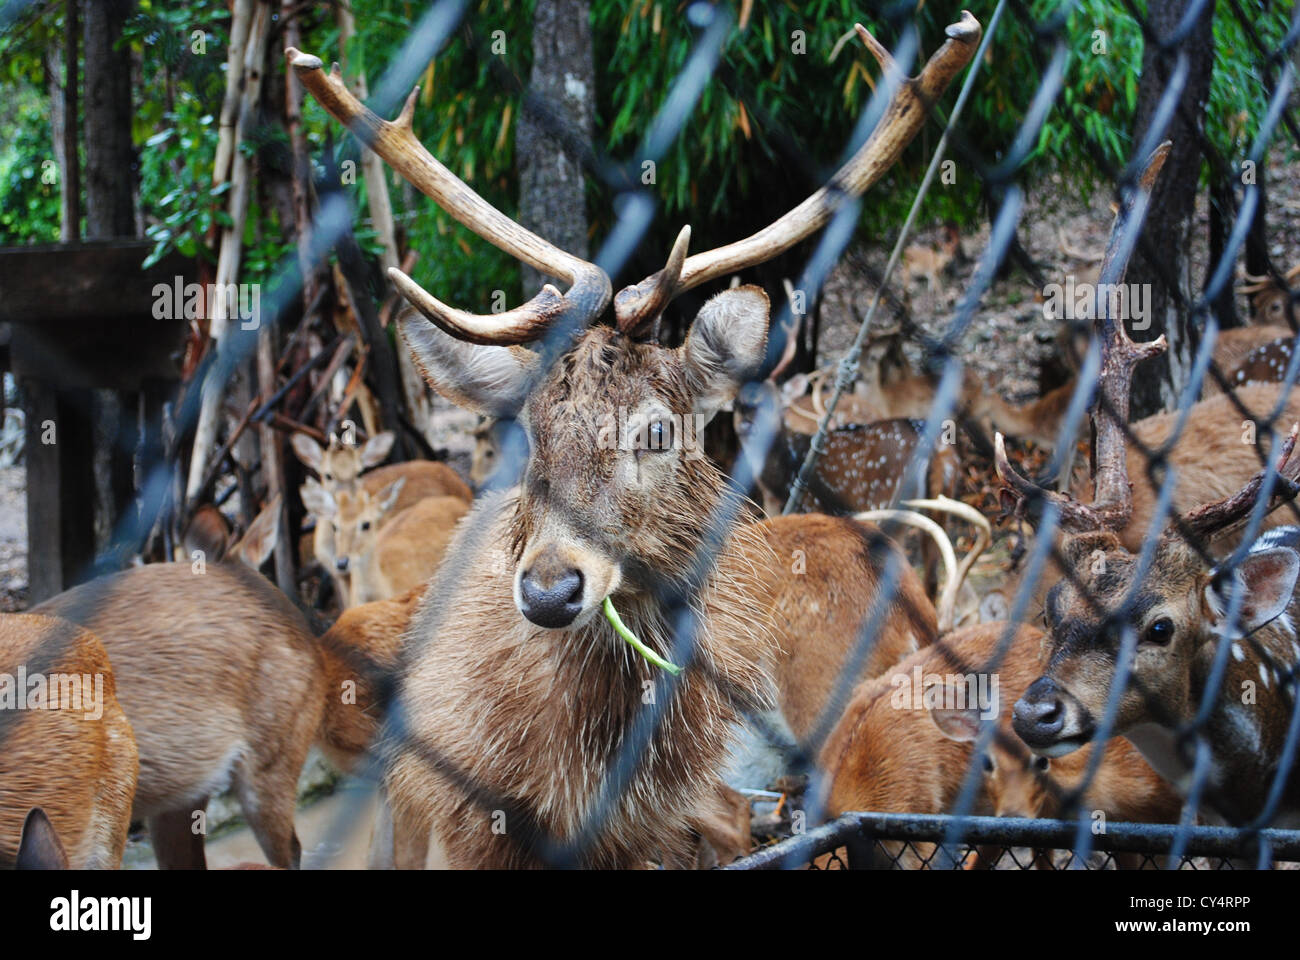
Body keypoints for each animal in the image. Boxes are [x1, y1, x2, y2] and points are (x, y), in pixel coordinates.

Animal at [287, 11, 980, 869]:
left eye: (656, 429)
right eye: (529, 434)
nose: (549, 589)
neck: (567, 787)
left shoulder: (654, 829)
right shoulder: (457, 817)